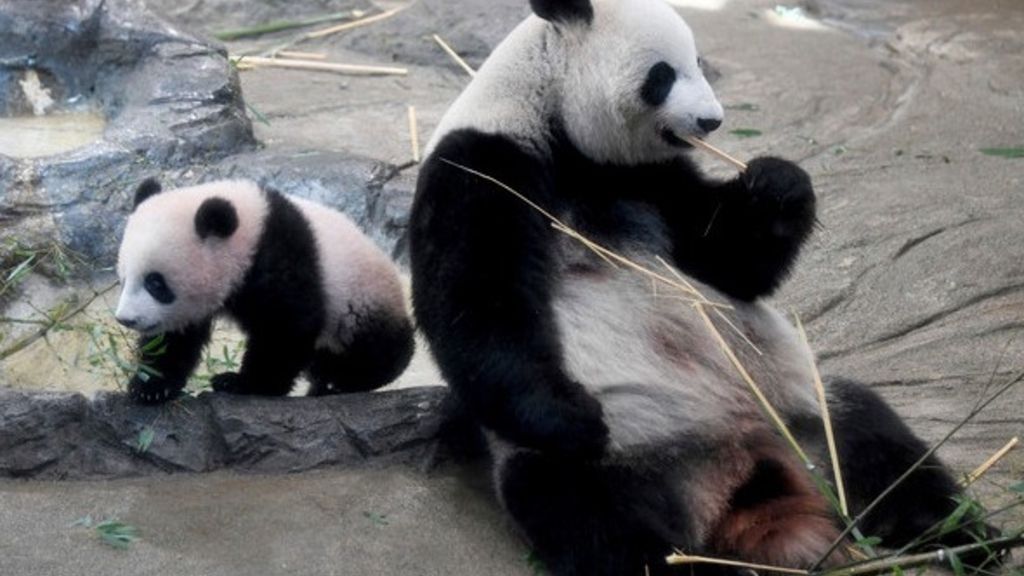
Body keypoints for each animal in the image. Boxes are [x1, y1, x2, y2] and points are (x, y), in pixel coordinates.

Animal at [115, 178, 414, 404]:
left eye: (155, 283)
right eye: (124, 278)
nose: (126, 319)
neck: (251, 229)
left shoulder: (281, 257)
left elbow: (285, 328)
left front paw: (242, 383)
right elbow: (175, 338)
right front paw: (150, 386)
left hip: (360, 299)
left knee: (375, 348)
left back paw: (344, 379)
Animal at [409, 0, 998, 574]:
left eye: (700, 62)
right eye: (663, 74)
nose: (712, 120)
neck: (558, 125)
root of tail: (744, 461)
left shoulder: (650, 178)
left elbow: (729, 260)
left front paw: (778, 184)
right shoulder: (485, 163)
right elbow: (477, 303)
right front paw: (573, 417)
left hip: (805, 416)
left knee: (879, 444)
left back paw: (968, 538)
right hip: (625, 459)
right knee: (595, 518)